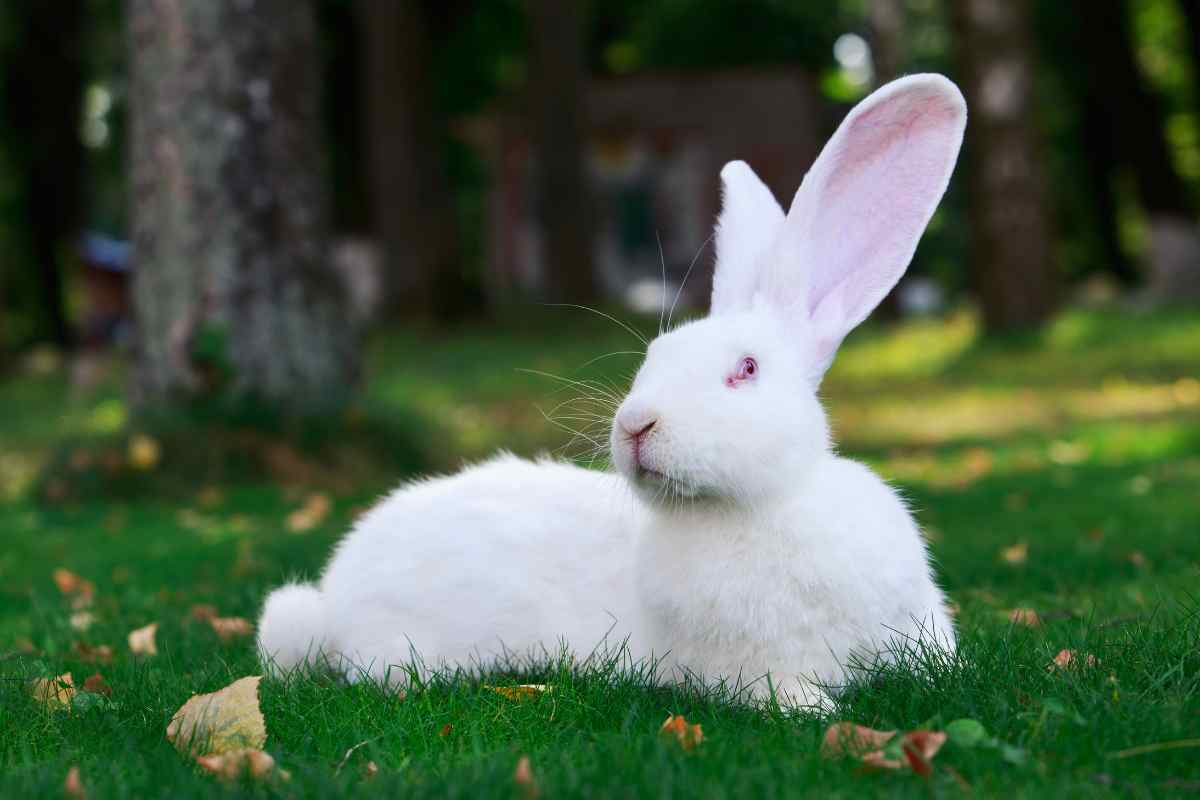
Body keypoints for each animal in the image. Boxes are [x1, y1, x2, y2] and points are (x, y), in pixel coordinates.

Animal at [258, 73, 966, 709]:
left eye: (746, 369)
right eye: (653, 358)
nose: (635, 427)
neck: (762, 504)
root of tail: (333, 598)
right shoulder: (743, 668)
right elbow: (789, 694)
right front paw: (814, 708)